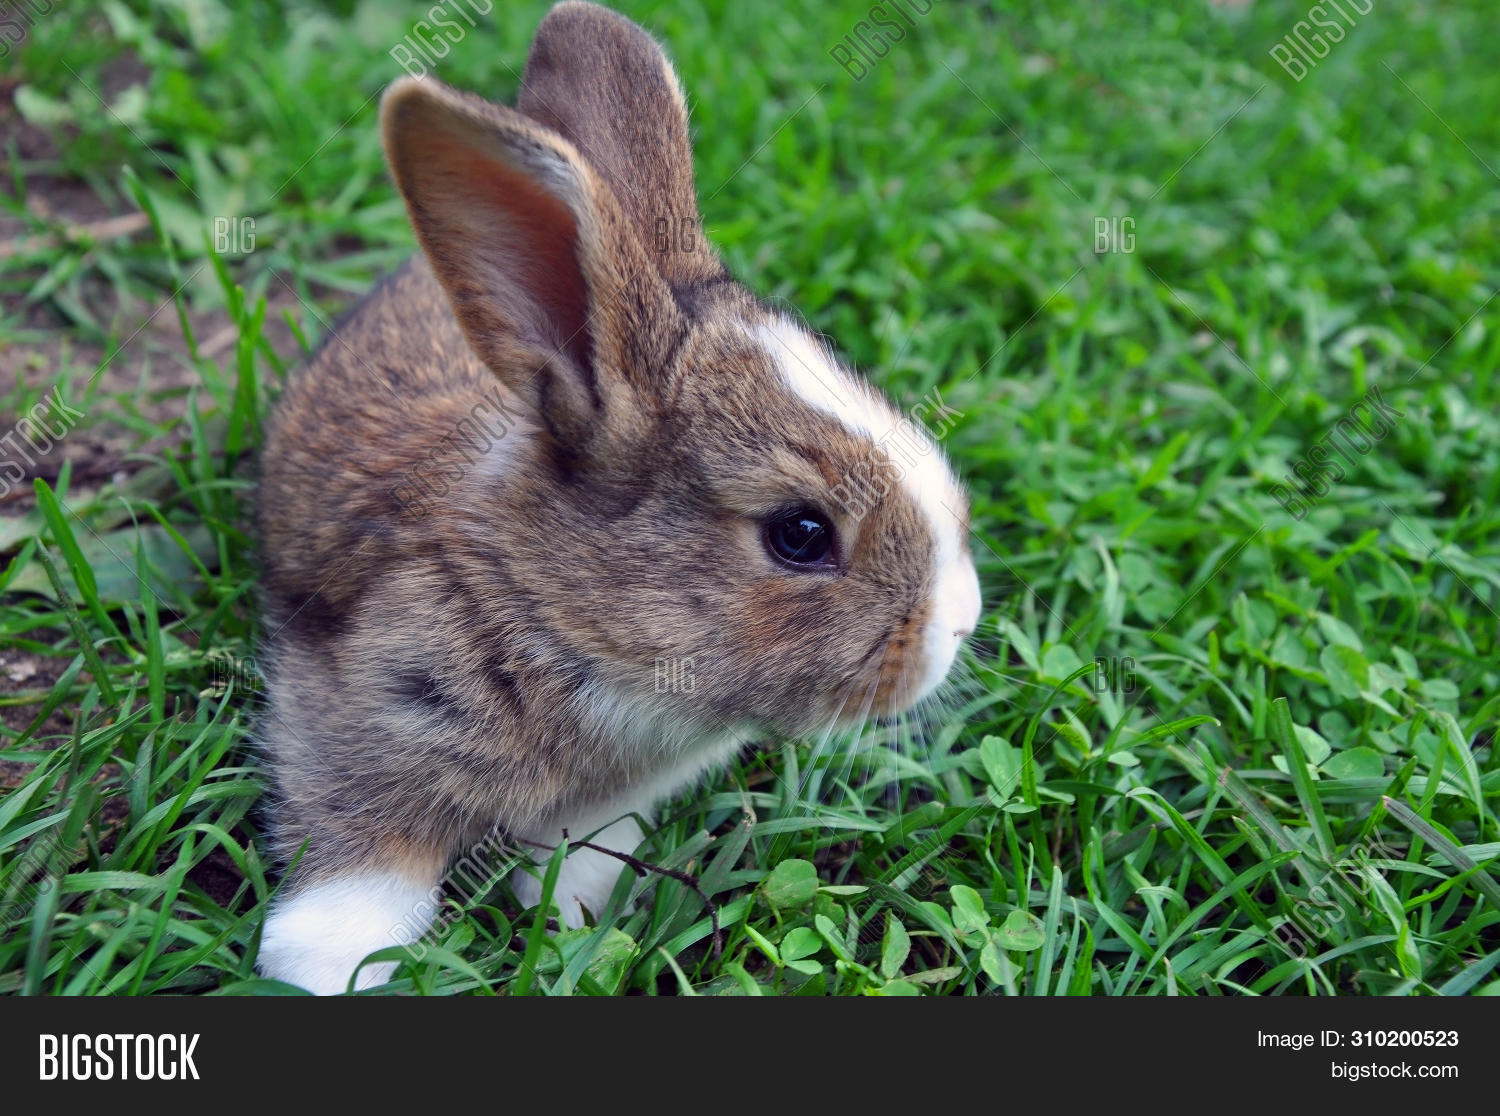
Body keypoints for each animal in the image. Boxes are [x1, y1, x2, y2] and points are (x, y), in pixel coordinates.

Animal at [254, 0, 981, 994]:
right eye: (799, 533)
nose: (961, 622)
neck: (563, 612)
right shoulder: (362, 708)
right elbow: (363, 854)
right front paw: (323, 968)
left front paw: (575, 920)